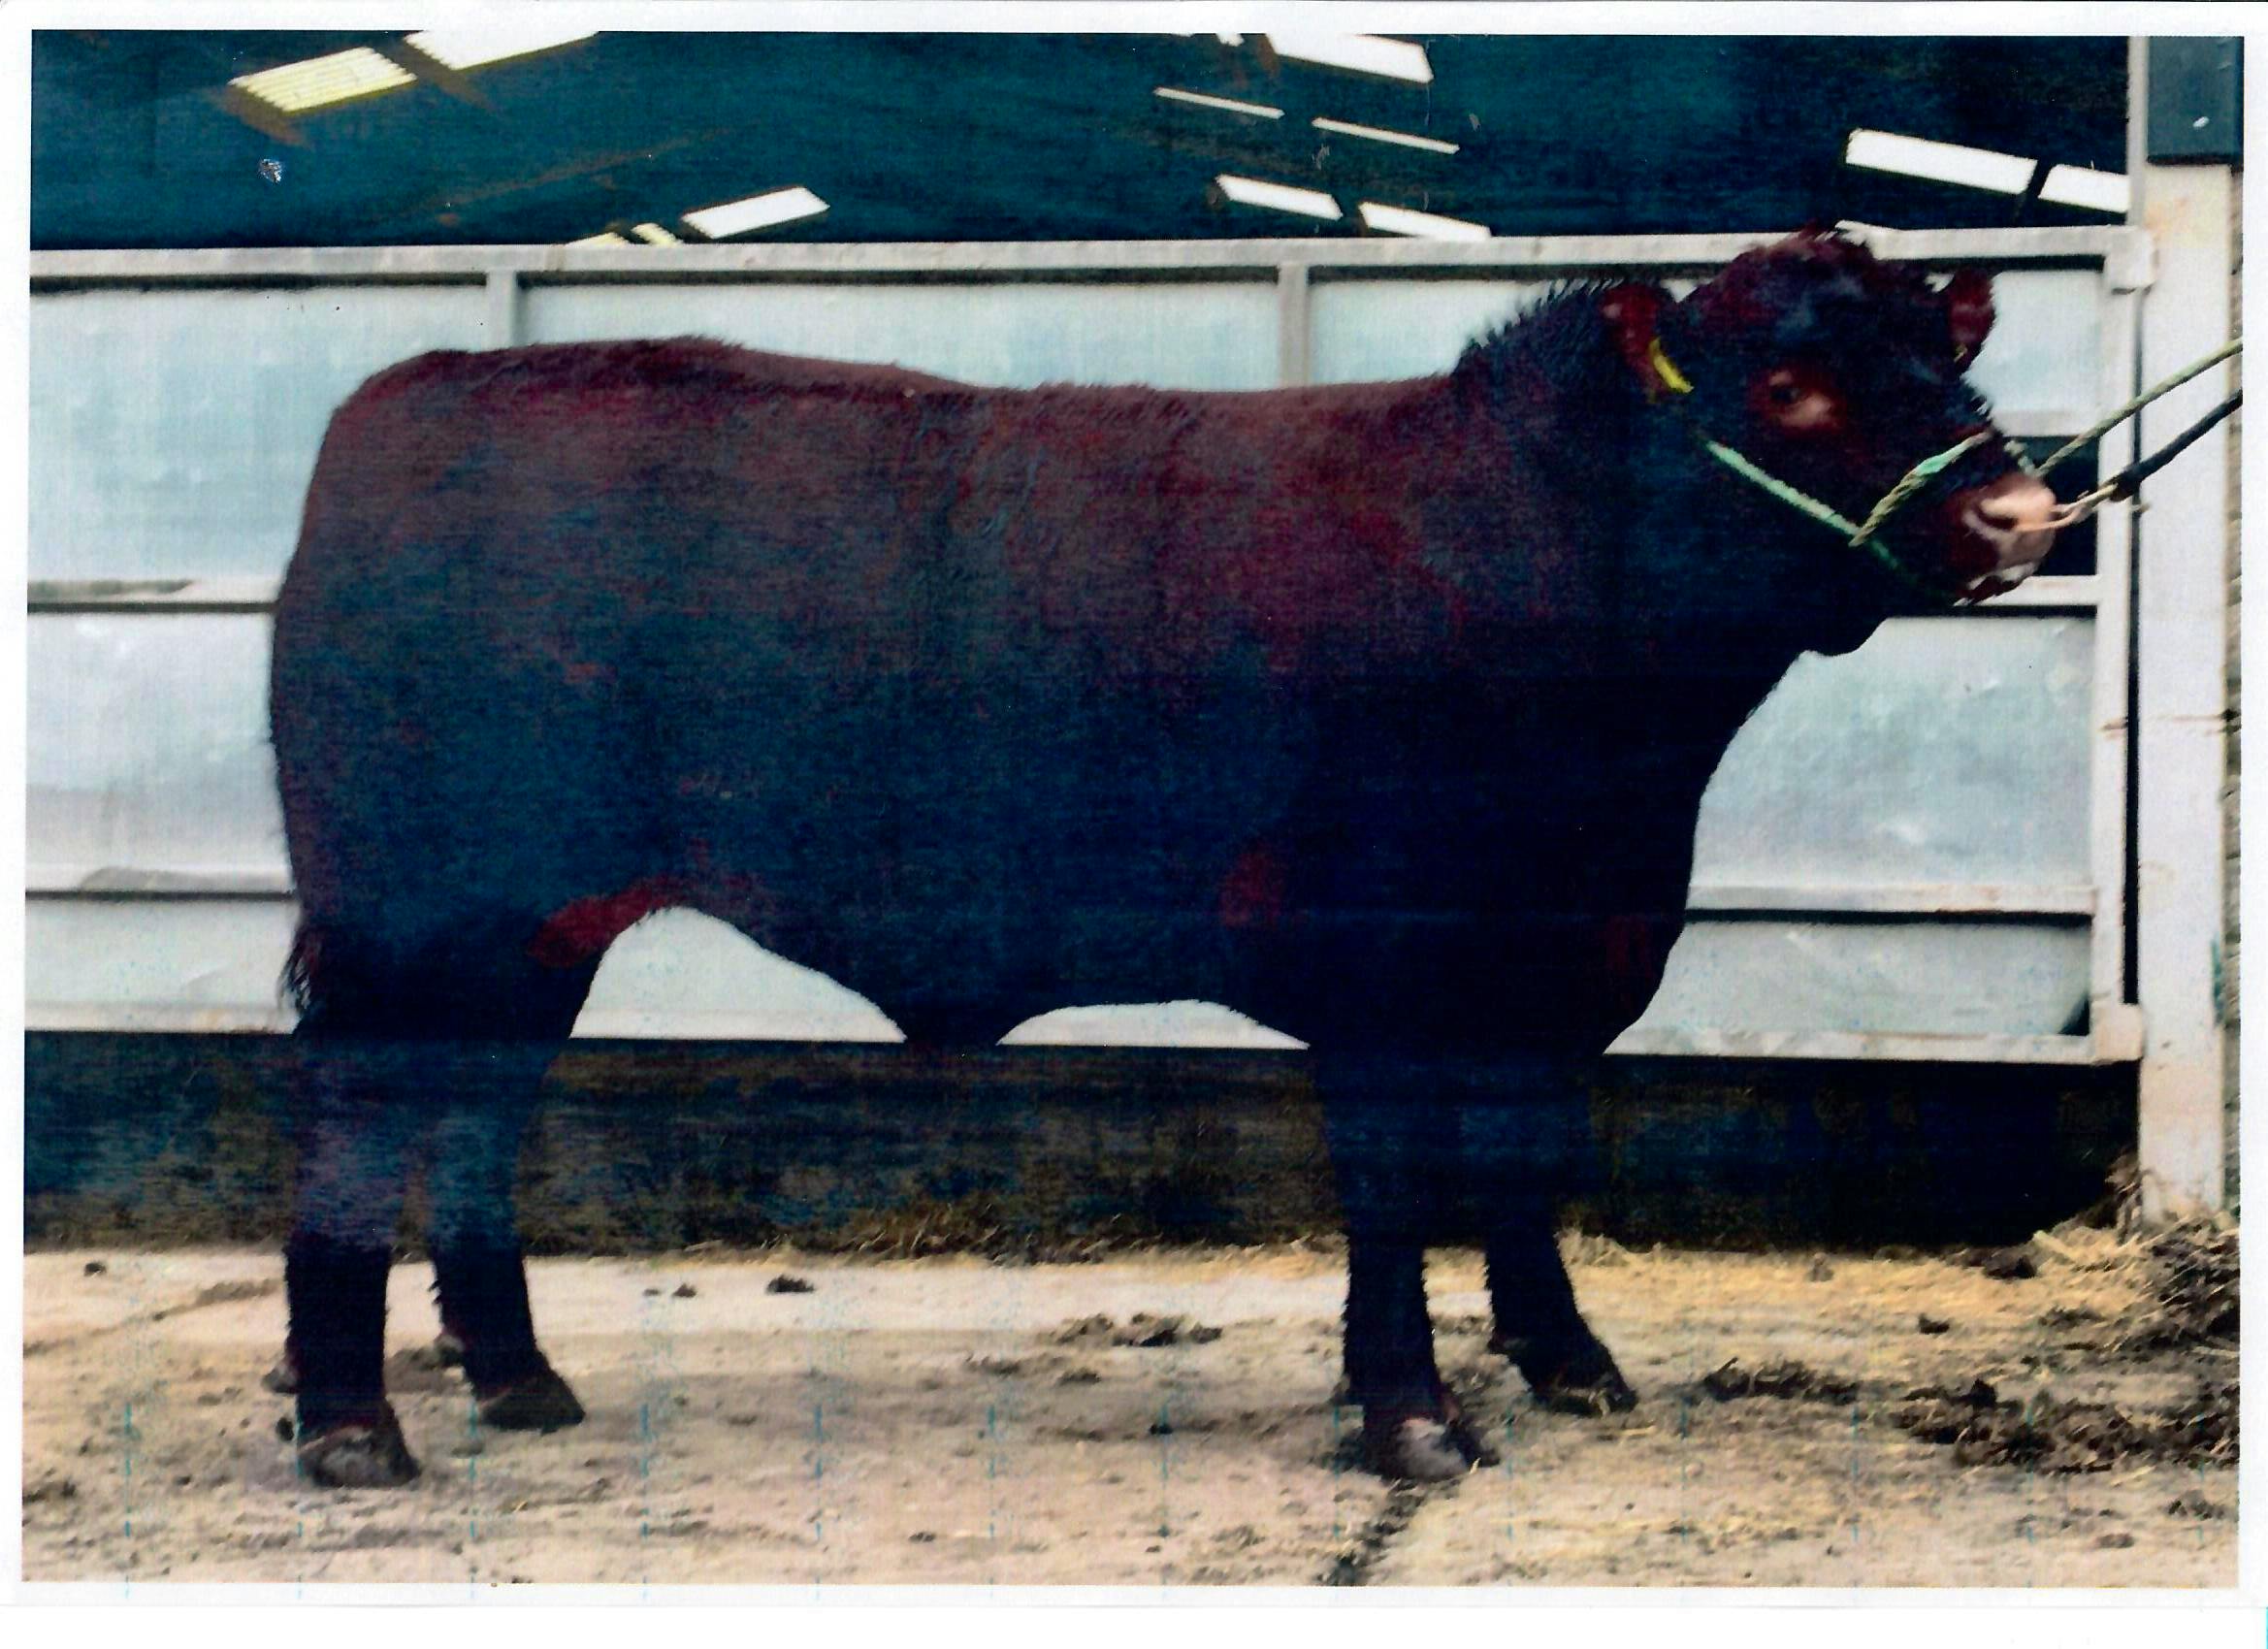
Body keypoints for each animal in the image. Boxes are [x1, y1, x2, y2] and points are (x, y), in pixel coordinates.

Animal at [266, 229, 2059, 1487]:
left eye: (1946, 363)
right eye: (1791, 388)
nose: (2017, 517)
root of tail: (414, 393)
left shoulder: (1558, 960)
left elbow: (1518, 1161)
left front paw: (1565, 1363)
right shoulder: (1383, 964)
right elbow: (1397, 1189)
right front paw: (1409, 1414)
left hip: (535, 931)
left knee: (476, 1118)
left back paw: (517, 1380)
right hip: (415, 912)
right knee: (358, 1119)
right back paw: (355, 1425)